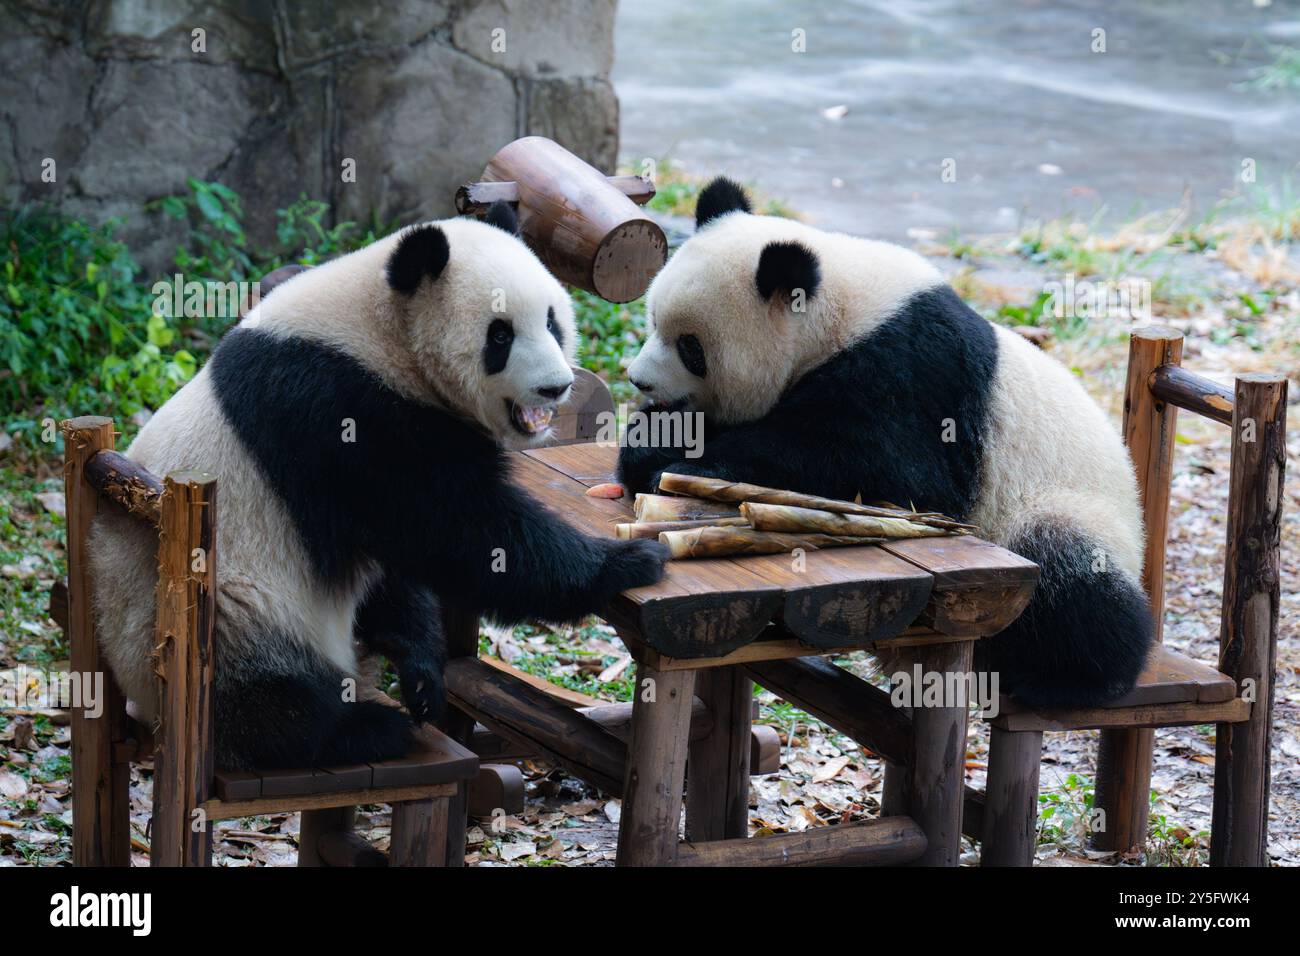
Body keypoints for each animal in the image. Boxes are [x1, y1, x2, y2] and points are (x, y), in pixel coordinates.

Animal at [88, 202, 668, 770]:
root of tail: (145, 706)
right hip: (223, 610)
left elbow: (399, 562)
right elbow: (457, 526)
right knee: (267, 695)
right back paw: (357, 729)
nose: (555, 386)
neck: (379, 331)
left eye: (551, 320)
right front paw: (627, 562)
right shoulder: (337, 410)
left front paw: (423, 672)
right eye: (500, 335)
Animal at [618, 178, 1153, 708]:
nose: (638, 380)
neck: (839, 315)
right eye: (652, 320)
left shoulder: (913, 370)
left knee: (1070, 574)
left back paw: (1068, 677)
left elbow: (892, 471)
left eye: (691, 347)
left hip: (1064, 510)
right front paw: (650, 448)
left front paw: (693, 473)